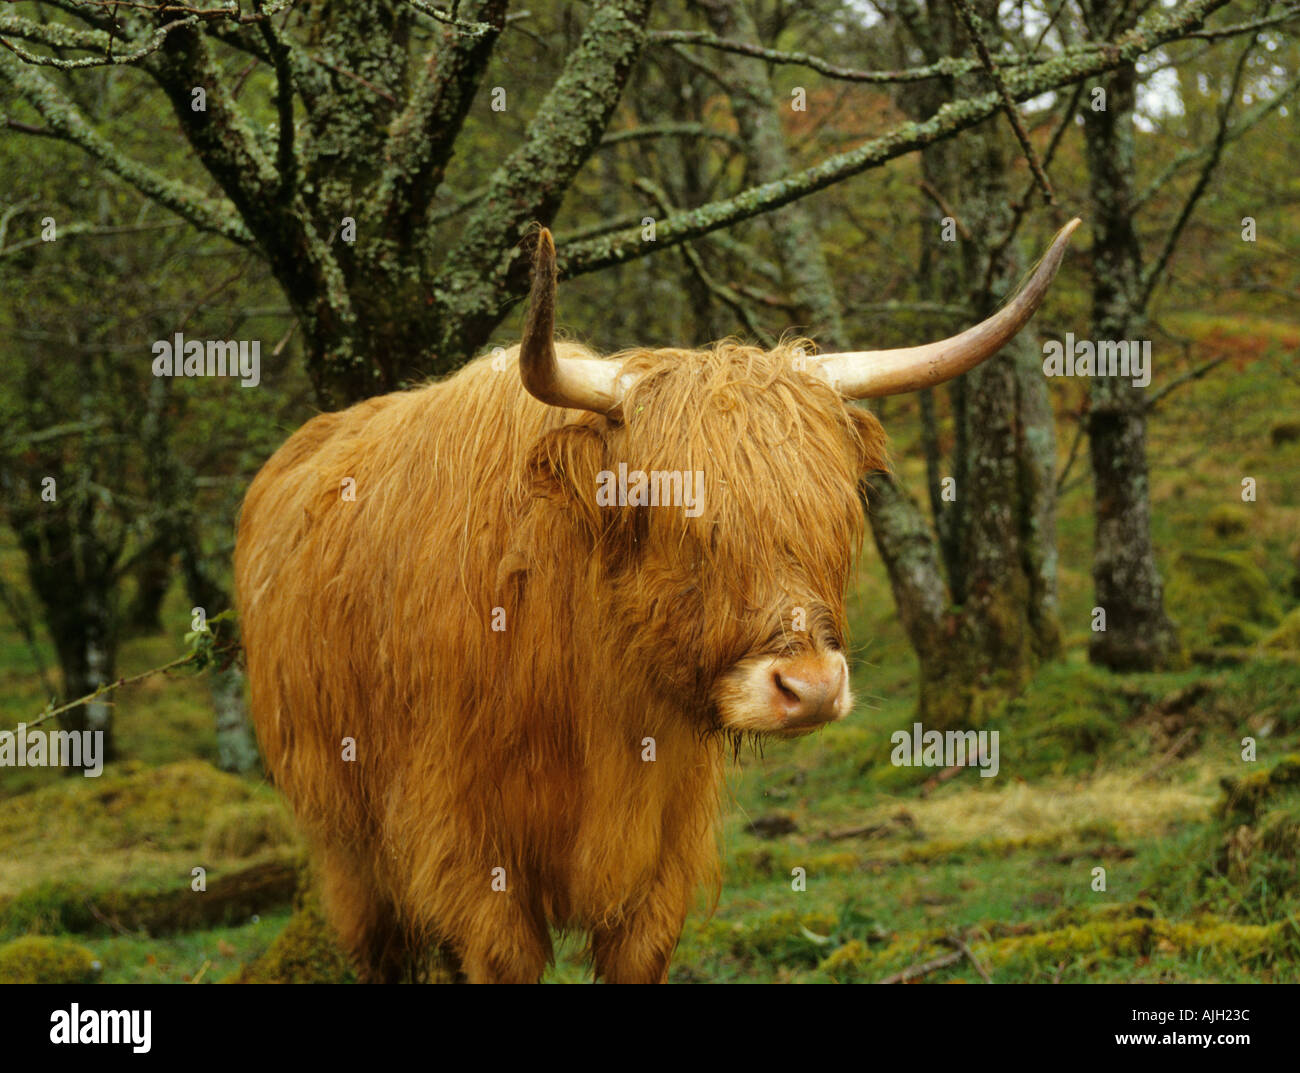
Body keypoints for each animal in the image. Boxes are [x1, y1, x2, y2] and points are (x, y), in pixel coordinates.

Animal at [234, 219, 1080, 983]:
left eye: (838, 512)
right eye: (678, 516)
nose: (809, 689)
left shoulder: (663, 855)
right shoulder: (466, 849)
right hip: (345, 839)